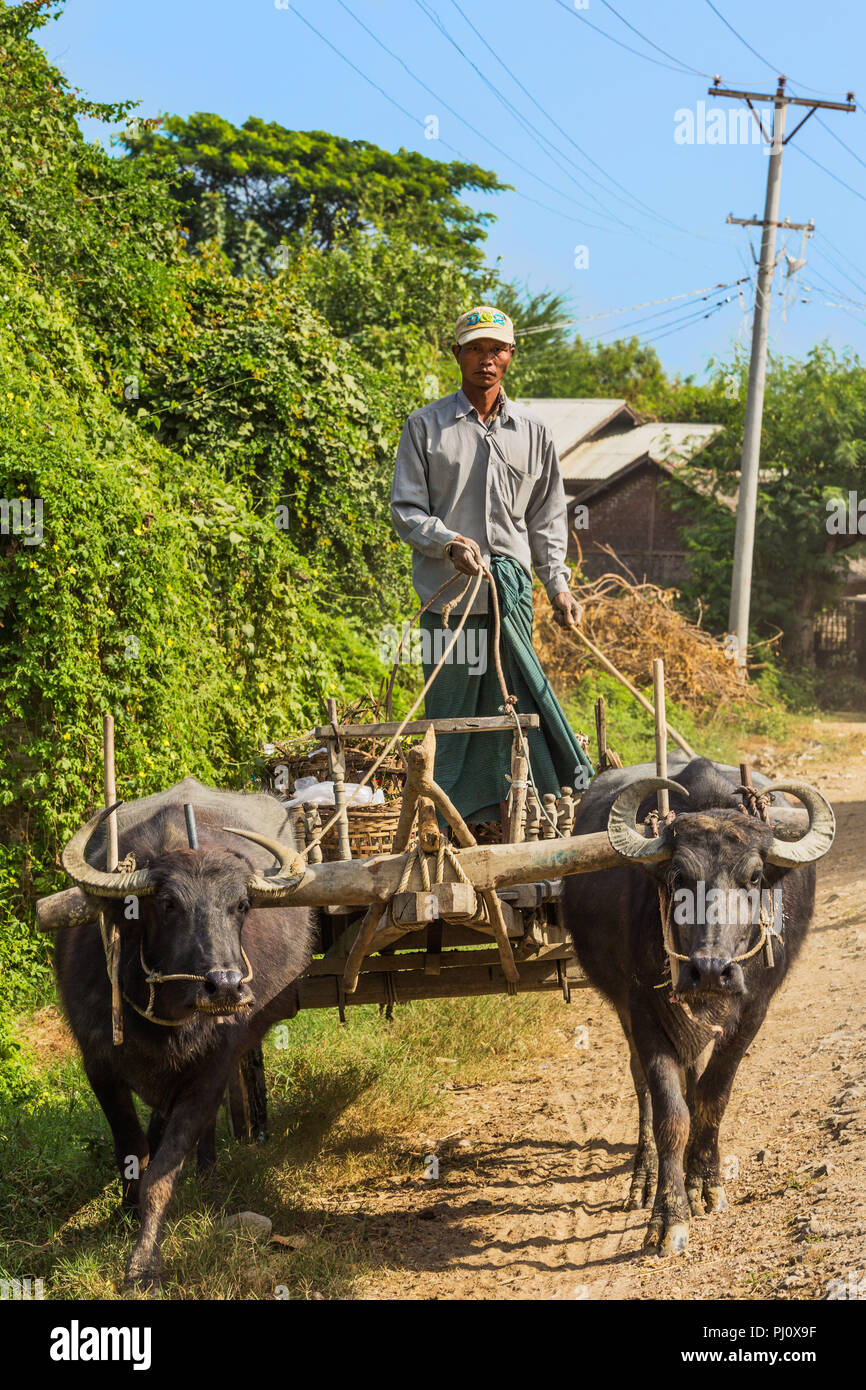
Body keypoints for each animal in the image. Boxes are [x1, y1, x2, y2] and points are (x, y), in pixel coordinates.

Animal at [52, 776, 314, 1292]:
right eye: (169, 904)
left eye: (241, 905)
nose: (227, 986)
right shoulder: (99, 1067)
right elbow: (132, 1153)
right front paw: (124, 1216)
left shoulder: (211, 1070)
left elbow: (164, 1170)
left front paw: (143, 1263)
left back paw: (209, 1175)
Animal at [563, 757, 834, 1256]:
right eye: (678, 879)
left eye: (753, 878)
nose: (710, 972)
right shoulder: (642, 1009)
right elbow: (670, 1111)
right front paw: (669, 1214)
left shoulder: (754, 1010)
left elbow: (713, 1094)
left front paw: (704, 1181)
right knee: (642, 1081)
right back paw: (644, 1175)